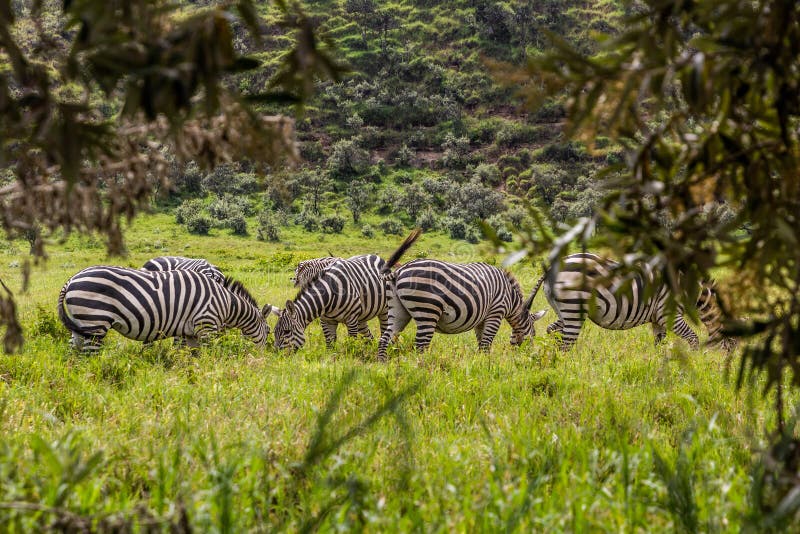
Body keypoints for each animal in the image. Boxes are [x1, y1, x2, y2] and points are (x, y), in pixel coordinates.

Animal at [58, 266, 277, 351]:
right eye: (268, 331)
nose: (264, 357)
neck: (225, 303)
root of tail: (72, 279)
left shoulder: (191, 333)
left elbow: (194, 357)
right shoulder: (206, 325)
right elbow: (211, 355)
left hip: (80, 323)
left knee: (74, 352)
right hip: (95, 322)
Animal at [273, 229, 422, 351]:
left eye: (287, 332)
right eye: (274, 331)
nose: (279, 356)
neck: (329, 296)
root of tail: (378, 258)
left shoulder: (351, 320)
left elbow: (351, 344)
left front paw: (349, 360)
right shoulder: (326, 321)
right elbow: (330, 345)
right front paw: (331, 361)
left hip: (384, 310)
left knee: (384, 330)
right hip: (362, 317)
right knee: (369, 337)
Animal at [376, 259, 548, 361]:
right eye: (533, 335)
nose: (529, 356)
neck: (510, 299)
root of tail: (399, 271)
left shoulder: (482, 319)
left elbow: (481, 343)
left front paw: (481, 364)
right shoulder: (496, 313)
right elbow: (486, 343)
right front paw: (487, 367)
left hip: (398, 311)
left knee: (385, 338)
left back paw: (382, 365)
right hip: (427, 310)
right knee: (421, 345)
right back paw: (423, 369)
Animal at [531, 252, 735, 350]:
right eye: (734, 339)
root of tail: (552, 267)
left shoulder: (657, 320)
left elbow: (659, 346)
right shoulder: (668, 315)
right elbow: (693, 338)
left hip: (565, 310)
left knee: (553, 331)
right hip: (574, 307)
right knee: (565, 344)